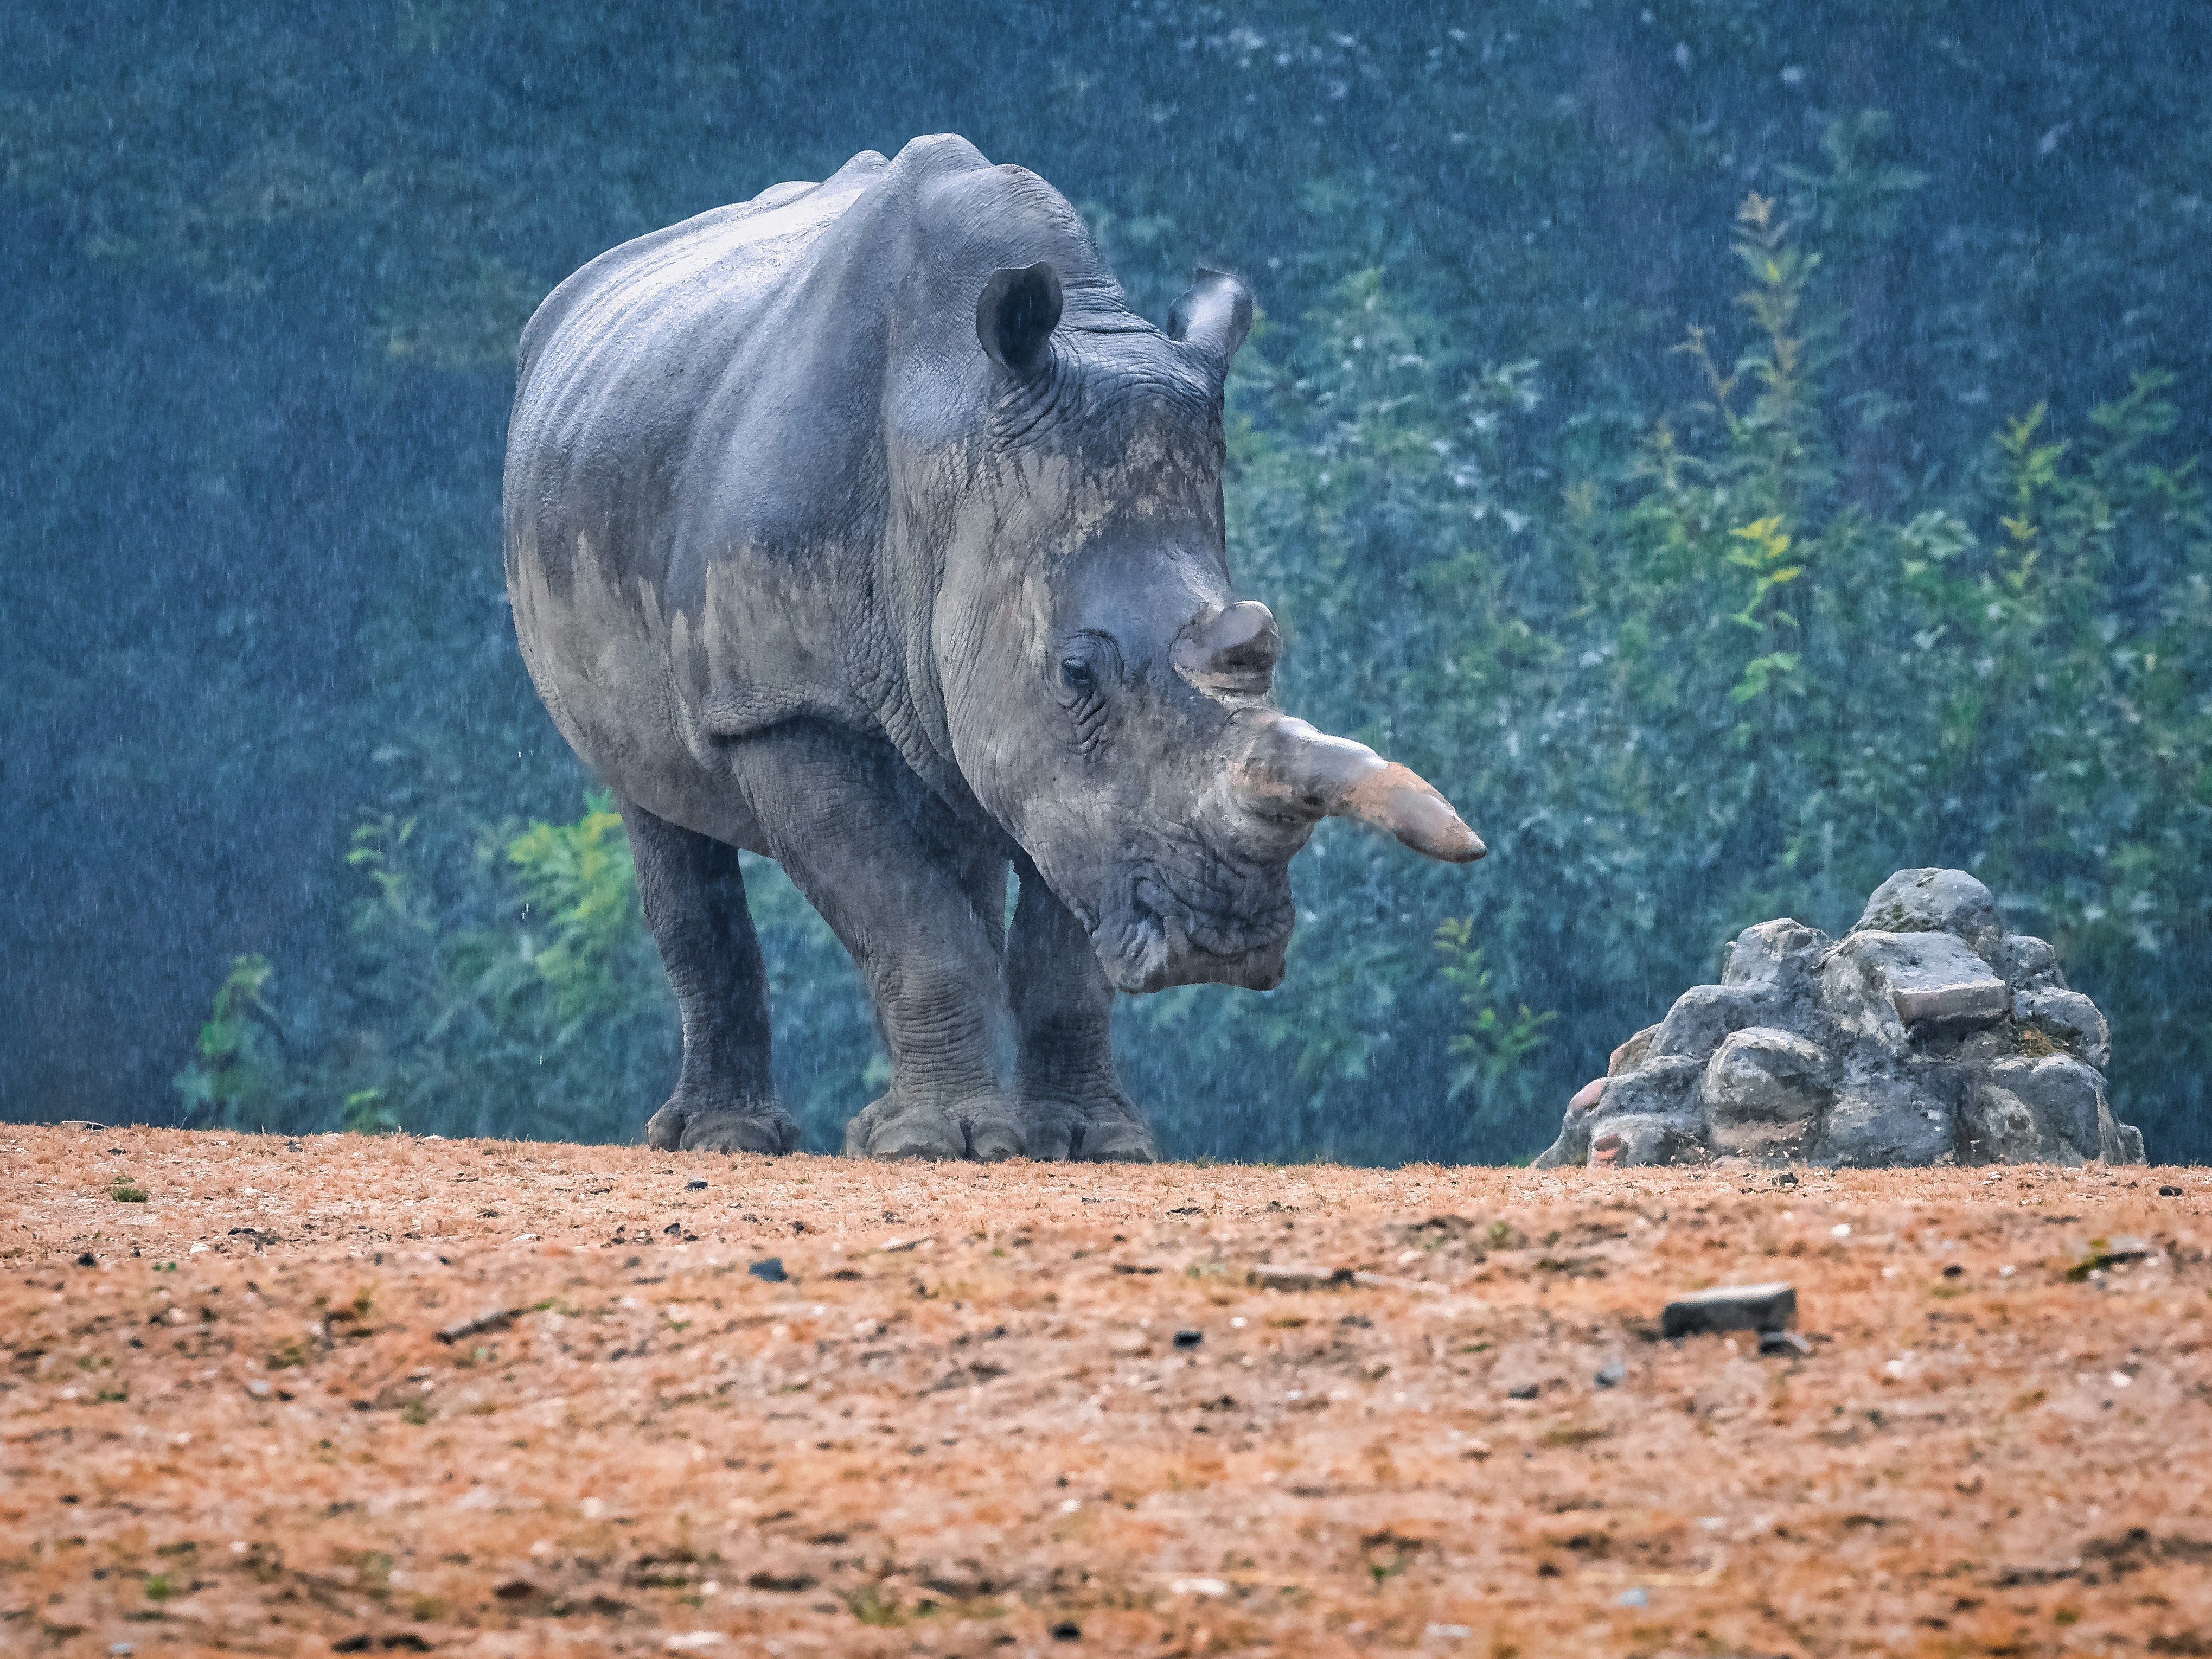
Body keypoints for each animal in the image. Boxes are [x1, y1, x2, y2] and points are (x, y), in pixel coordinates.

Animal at [503, 135, 1483, 1162]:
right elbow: (907, 913)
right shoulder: (781, 705)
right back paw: (725, 1140)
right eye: (1076, 671)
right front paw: (933, 1143)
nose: (1222, 942)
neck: (948, 431)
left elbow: (1053, 922)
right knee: (656, 805)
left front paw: (1090, 1142)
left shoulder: (1059, 760)